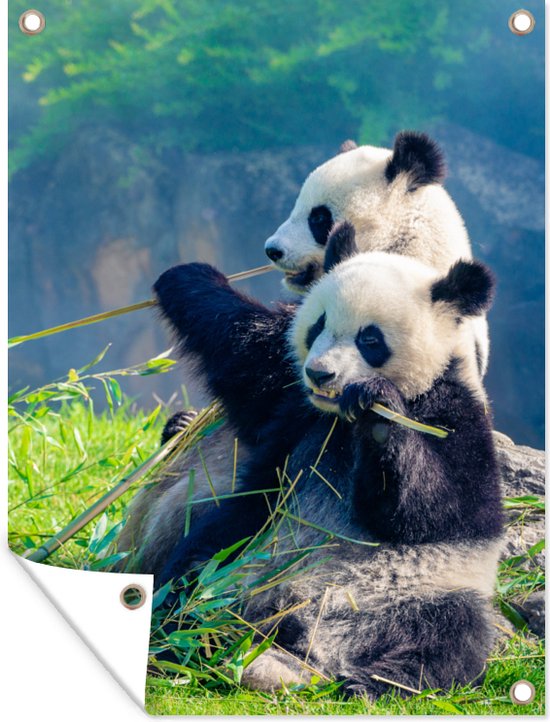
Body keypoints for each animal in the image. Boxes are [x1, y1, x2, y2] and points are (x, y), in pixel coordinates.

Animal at [149, 223, 503, 698]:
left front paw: (377, 410)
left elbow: (439, 509)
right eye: (318, 324)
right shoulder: (296, 410)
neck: (339, 419)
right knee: (195, 571)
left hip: (424, 591)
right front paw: (187, 277)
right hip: (245, 547)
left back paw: (369, 682)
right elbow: (247, 359)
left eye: (370, 339)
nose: (320, 374)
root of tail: (308, 641)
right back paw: (179, 635)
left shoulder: (455, 412)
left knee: (452, 637)